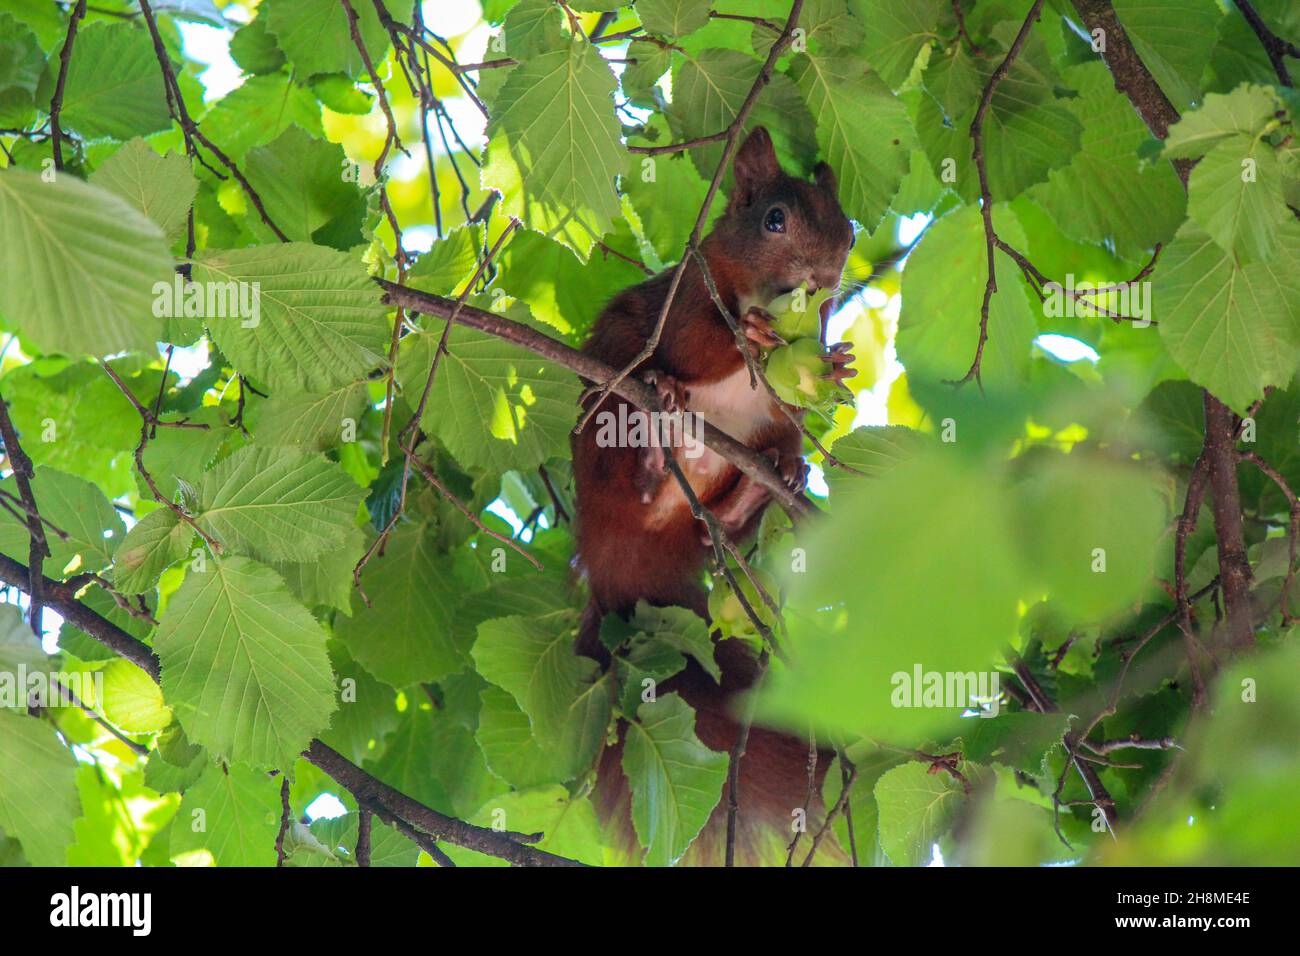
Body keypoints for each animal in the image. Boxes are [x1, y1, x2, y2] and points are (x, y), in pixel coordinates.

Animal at [571, 127, 856, 864]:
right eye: (774, 219)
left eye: (849, 231)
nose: (823, 280)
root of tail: (615, 559)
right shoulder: (684, 305)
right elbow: (700, 343)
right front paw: (748, 333)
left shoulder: (789, 391)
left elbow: (797, 394)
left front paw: (832, 365)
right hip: (605, 416)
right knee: (632, 460)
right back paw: (652, 447)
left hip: (733, 478)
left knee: (713, 525)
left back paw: (764, 486)